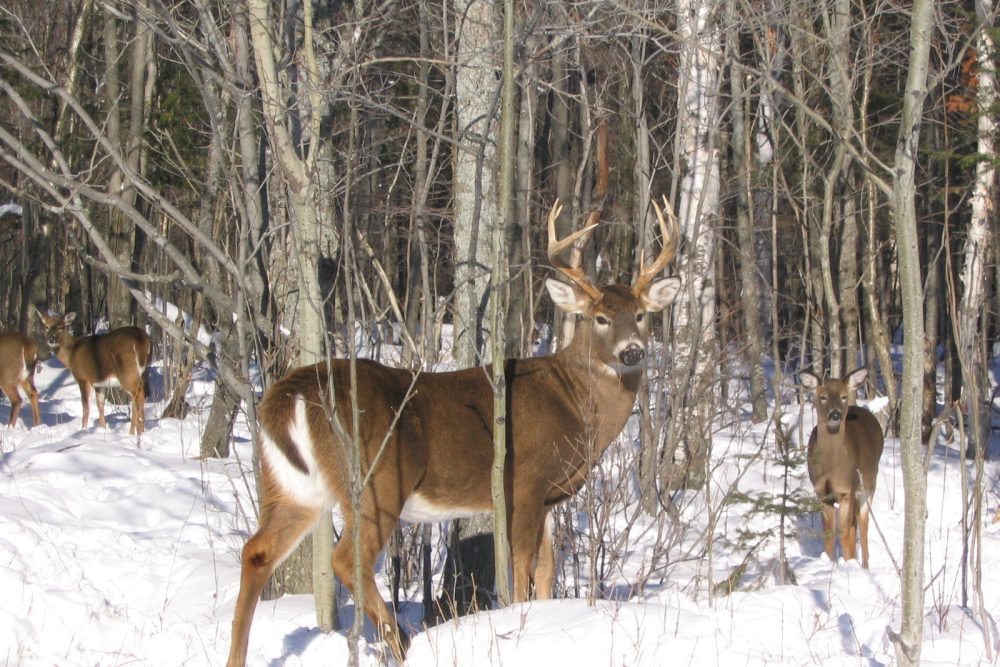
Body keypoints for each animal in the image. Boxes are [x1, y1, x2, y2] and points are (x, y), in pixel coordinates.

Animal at [225, 197, 683, 666]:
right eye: (601, 318)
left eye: (641, 315)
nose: (632, 352)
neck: (573, 402)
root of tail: (292, 393)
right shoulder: (526, 480)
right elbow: (521, 565)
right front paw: (521, 623)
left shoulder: (551, 496)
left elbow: (547, 568)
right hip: (377, 481)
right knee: (345, 559)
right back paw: (399, 642)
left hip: (294, 487)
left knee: (257, 551)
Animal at [800, 367, 884, 569]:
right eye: (822, 396)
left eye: (844, 396)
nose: (835, 415)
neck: (831, 468)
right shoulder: (822, 493)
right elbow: (829, 534)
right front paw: (828, 562)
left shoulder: (847, 490)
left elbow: (844, 532)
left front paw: (849, 564)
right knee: (854, 524)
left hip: (868, 486)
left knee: (863, 522)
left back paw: (865, 565)